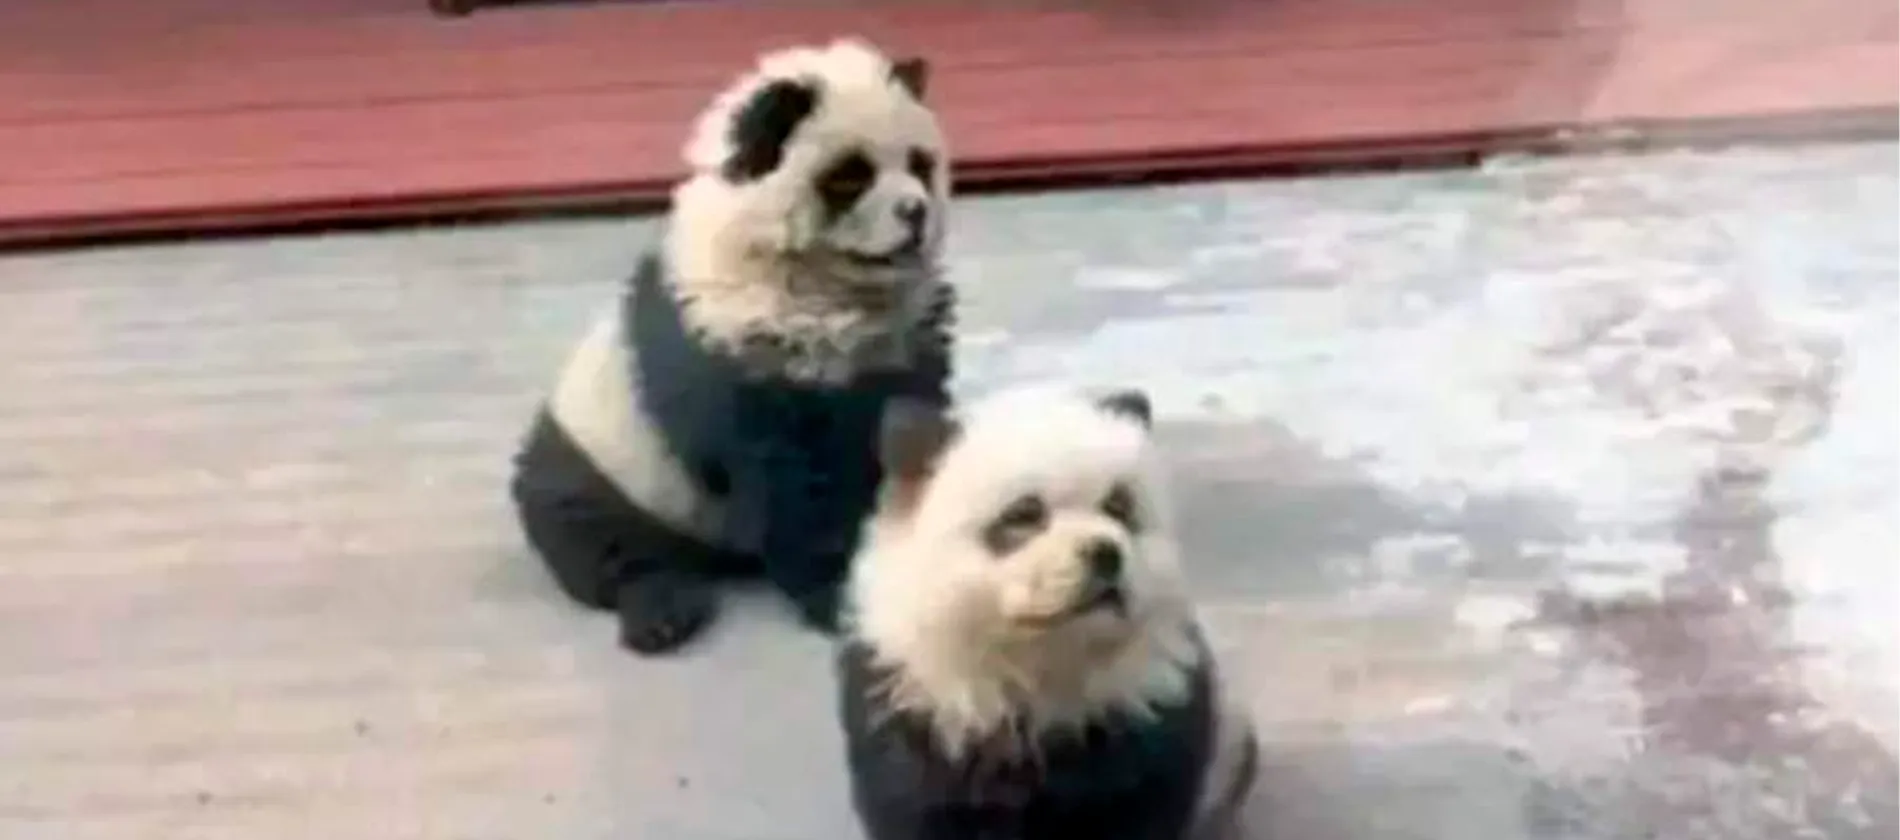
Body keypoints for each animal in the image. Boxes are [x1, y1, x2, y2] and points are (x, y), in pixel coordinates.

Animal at [508, 38, 956, 656]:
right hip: (602, 458)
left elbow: (913, 422)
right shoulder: (737, 345)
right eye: (850, 177)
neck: (832, 291)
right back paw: (662, 611)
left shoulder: (906, 344)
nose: (915, 212)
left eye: (919, 165)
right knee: (597, 538)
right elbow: (793, 486)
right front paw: (837, 591)